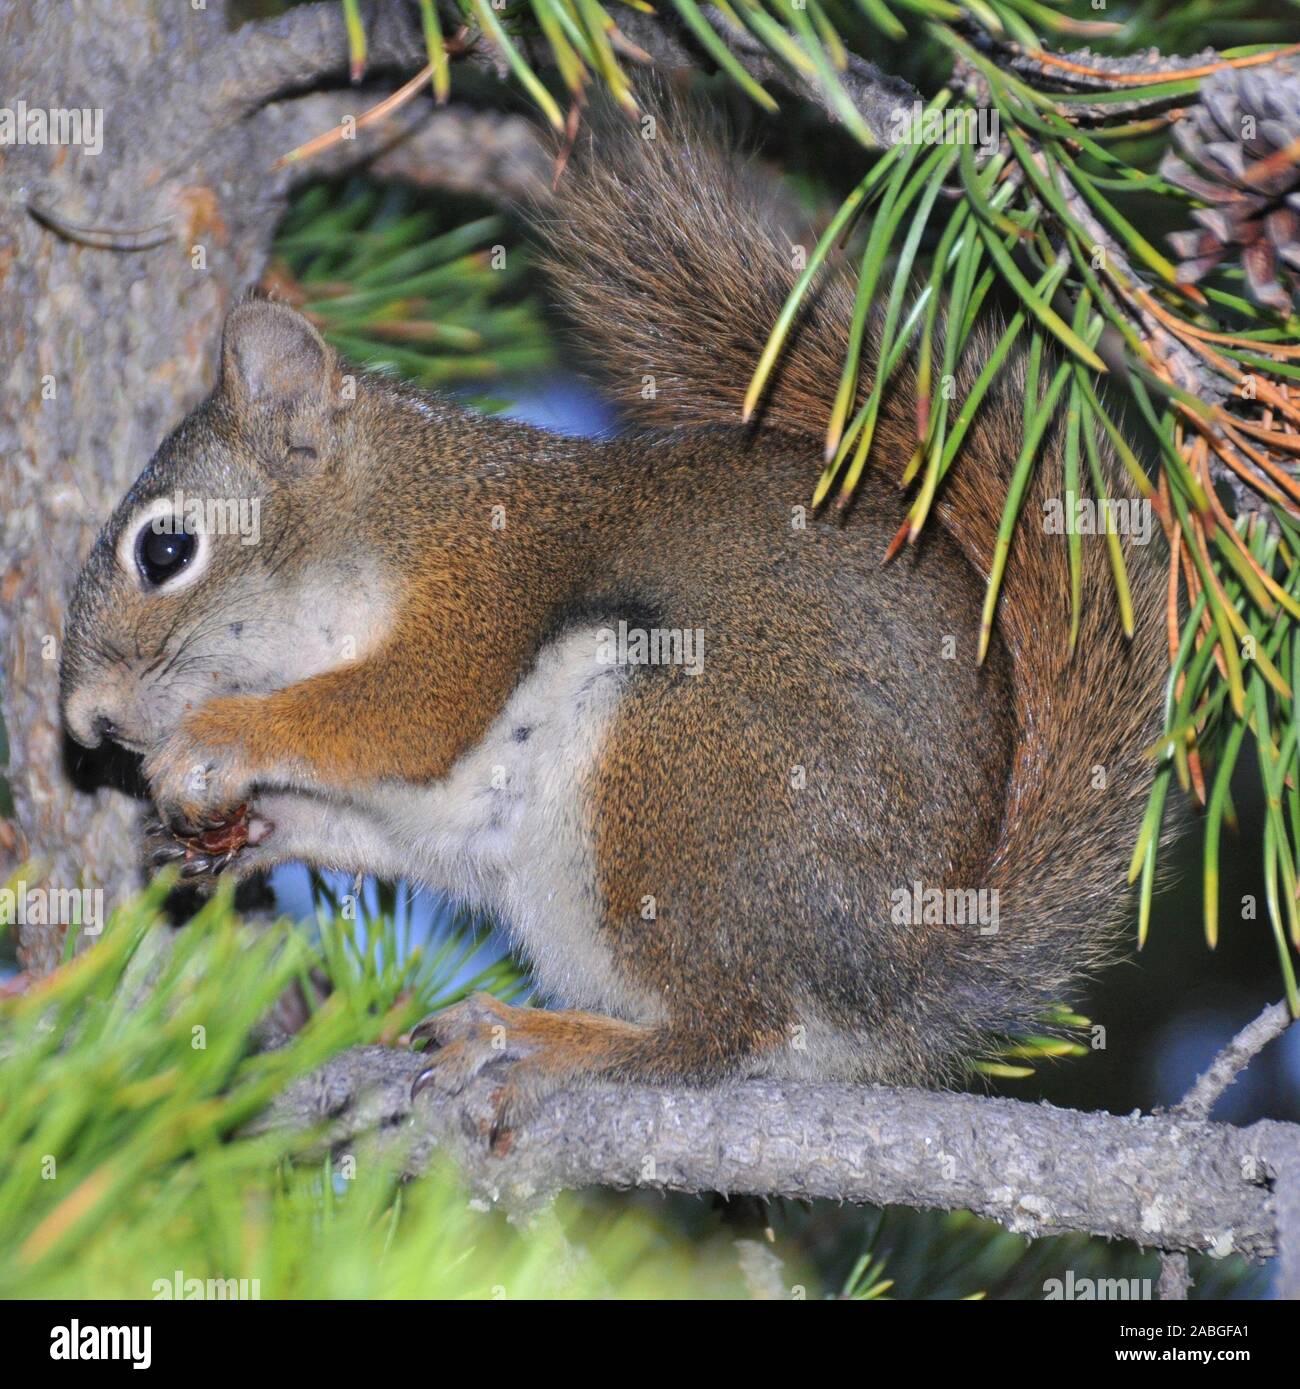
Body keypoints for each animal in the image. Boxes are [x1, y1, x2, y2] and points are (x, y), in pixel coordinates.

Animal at [59, 103, 1166, 1135]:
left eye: (165, 550)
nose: (86, 724)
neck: (388, 517)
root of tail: (897, 982)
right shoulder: (419, 818)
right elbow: (357, 820)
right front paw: (239, 835)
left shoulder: (478, 589)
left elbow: (402, 715)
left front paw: (214, 738)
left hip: (675, 777)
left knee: (726, 1030)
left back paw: (548, 1040)